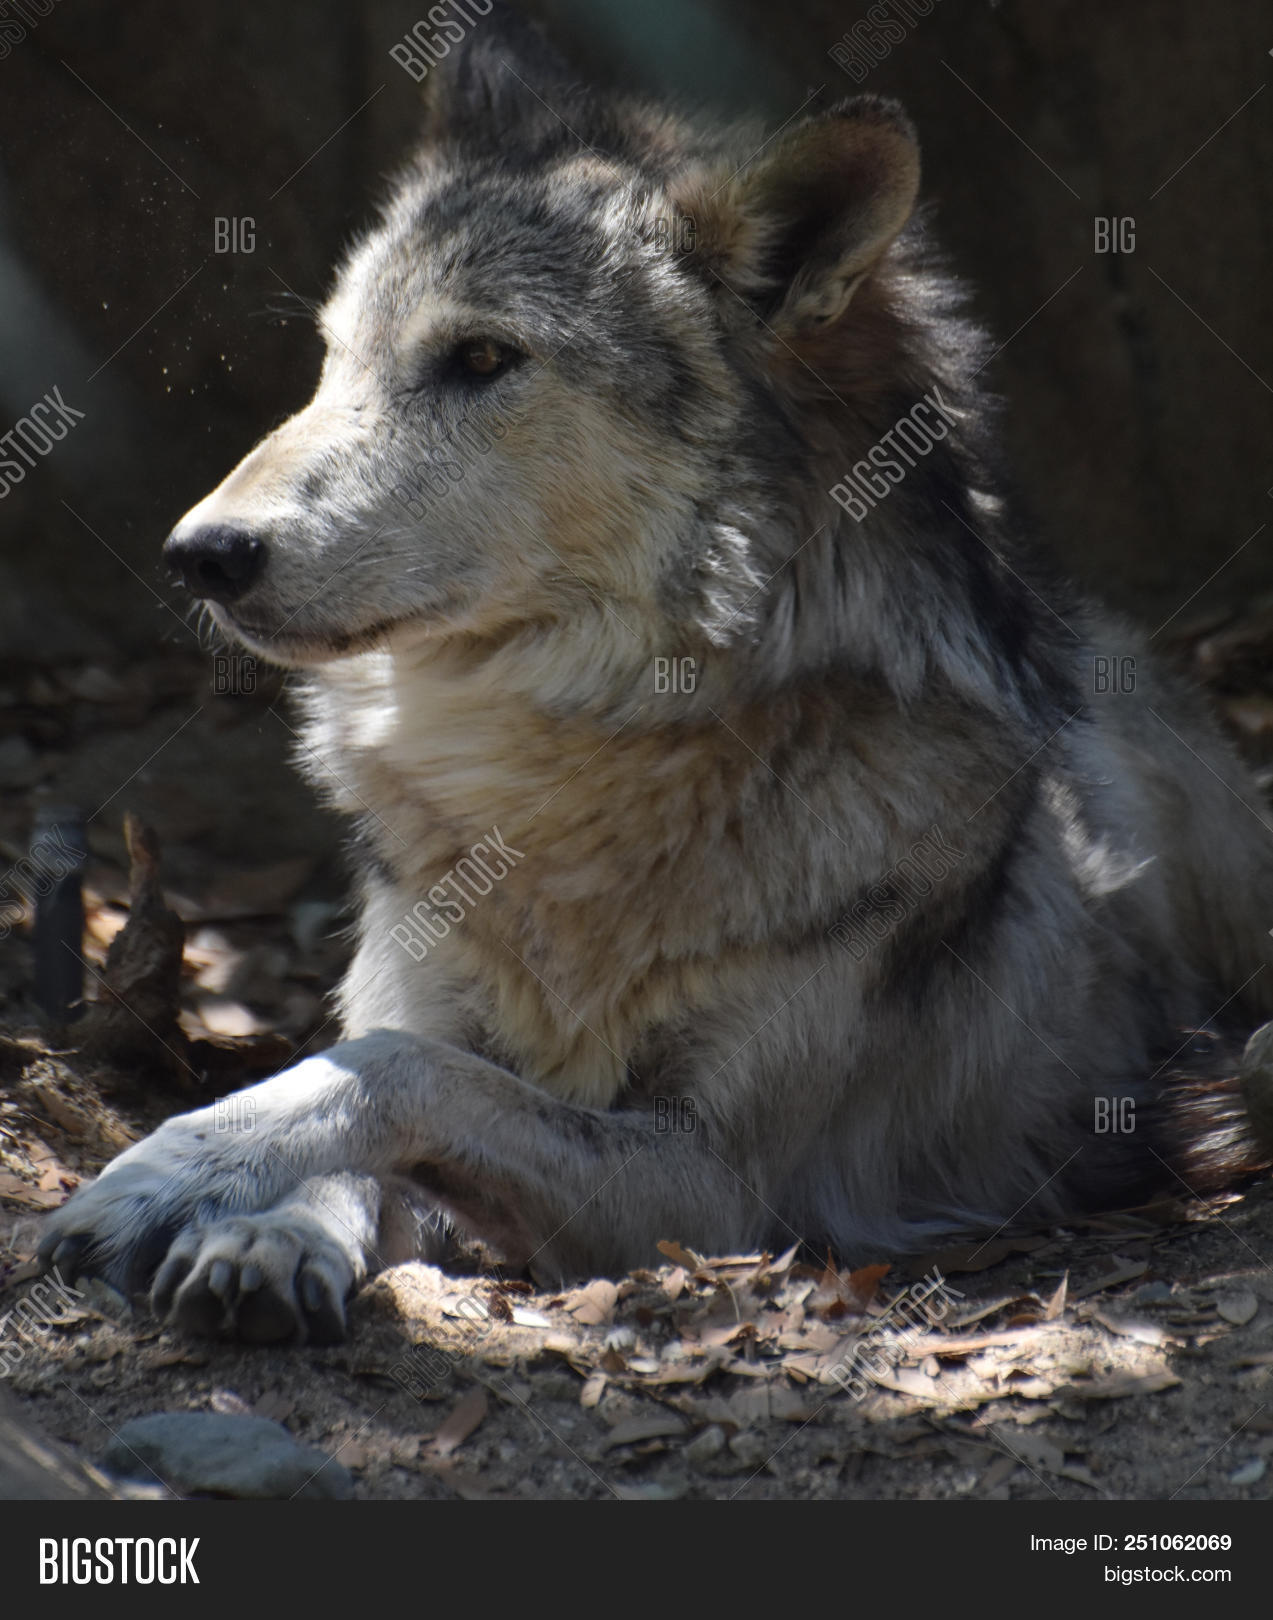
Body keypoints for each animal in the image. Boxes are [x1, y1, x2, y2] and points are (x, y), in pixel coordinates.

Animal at [40, 16, 1273, 1344]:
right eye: (329, 364)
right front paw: (262, 1232)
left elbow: (382, 1074)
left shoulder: (720, 1186)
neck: (563, 787)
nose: (199, 554)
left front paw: (172, 1167)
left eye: (481, 356)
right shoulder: (428, 1005)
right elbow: (377, 1096)